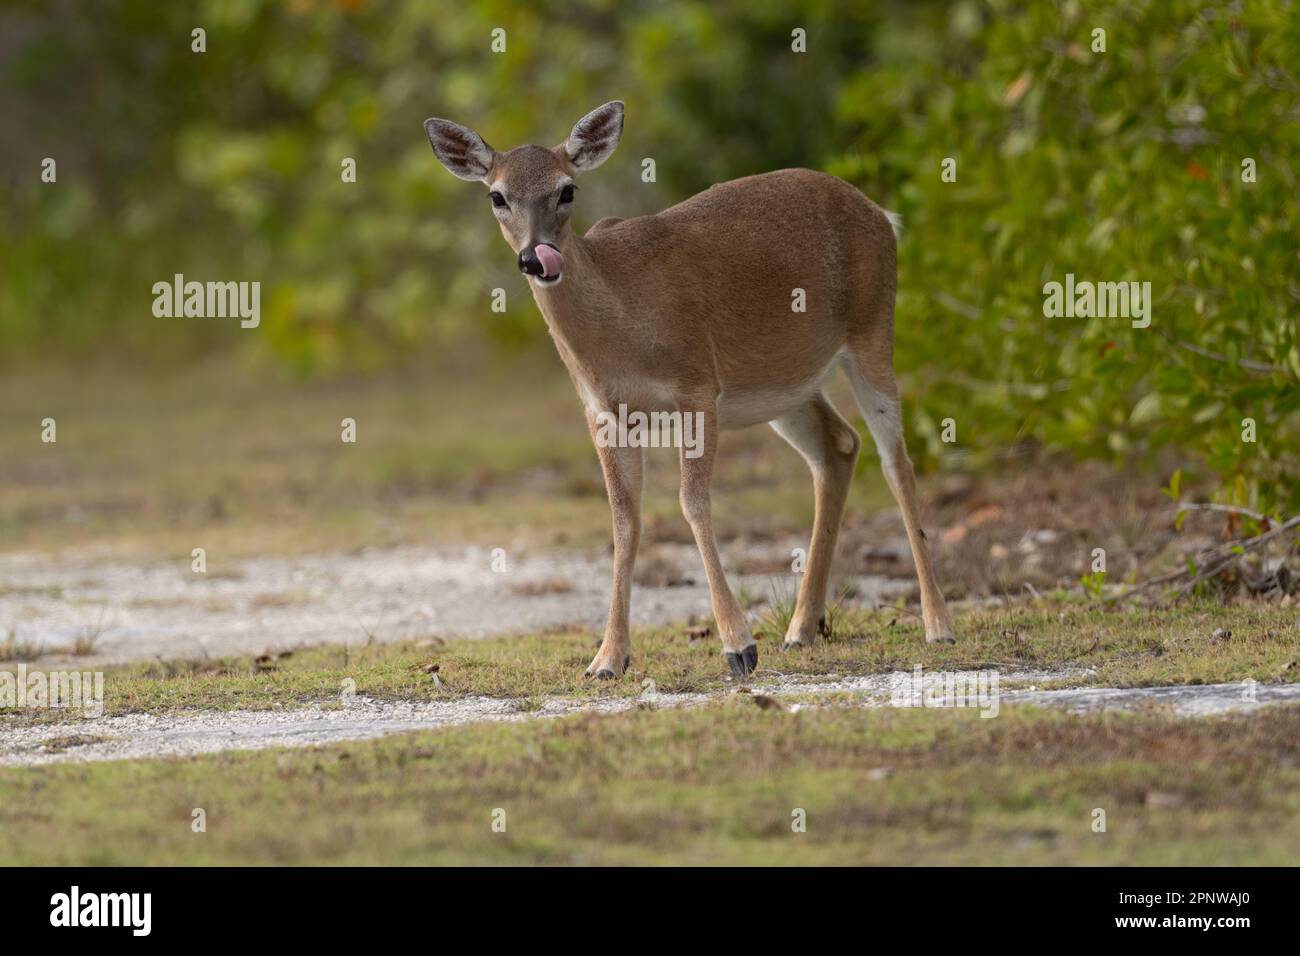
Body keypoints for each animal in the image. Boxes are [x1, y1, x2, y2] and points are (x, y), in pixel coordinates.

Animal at [424, 101, 955, 680]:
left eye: (567, 190)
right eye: (497, 196)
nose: (534, 258)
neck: (622, 329)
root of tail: (882, 214)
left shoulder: (697, 384)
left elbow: (693, 502)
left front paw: (738, 646)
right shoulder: (603, 410)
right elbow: (624, 520)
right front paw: (607, 658)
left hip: (873, 329)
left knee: (896, 461)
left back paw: (937, 625)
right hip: (782, 385)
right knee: (838, 446)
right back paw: (800, 629)